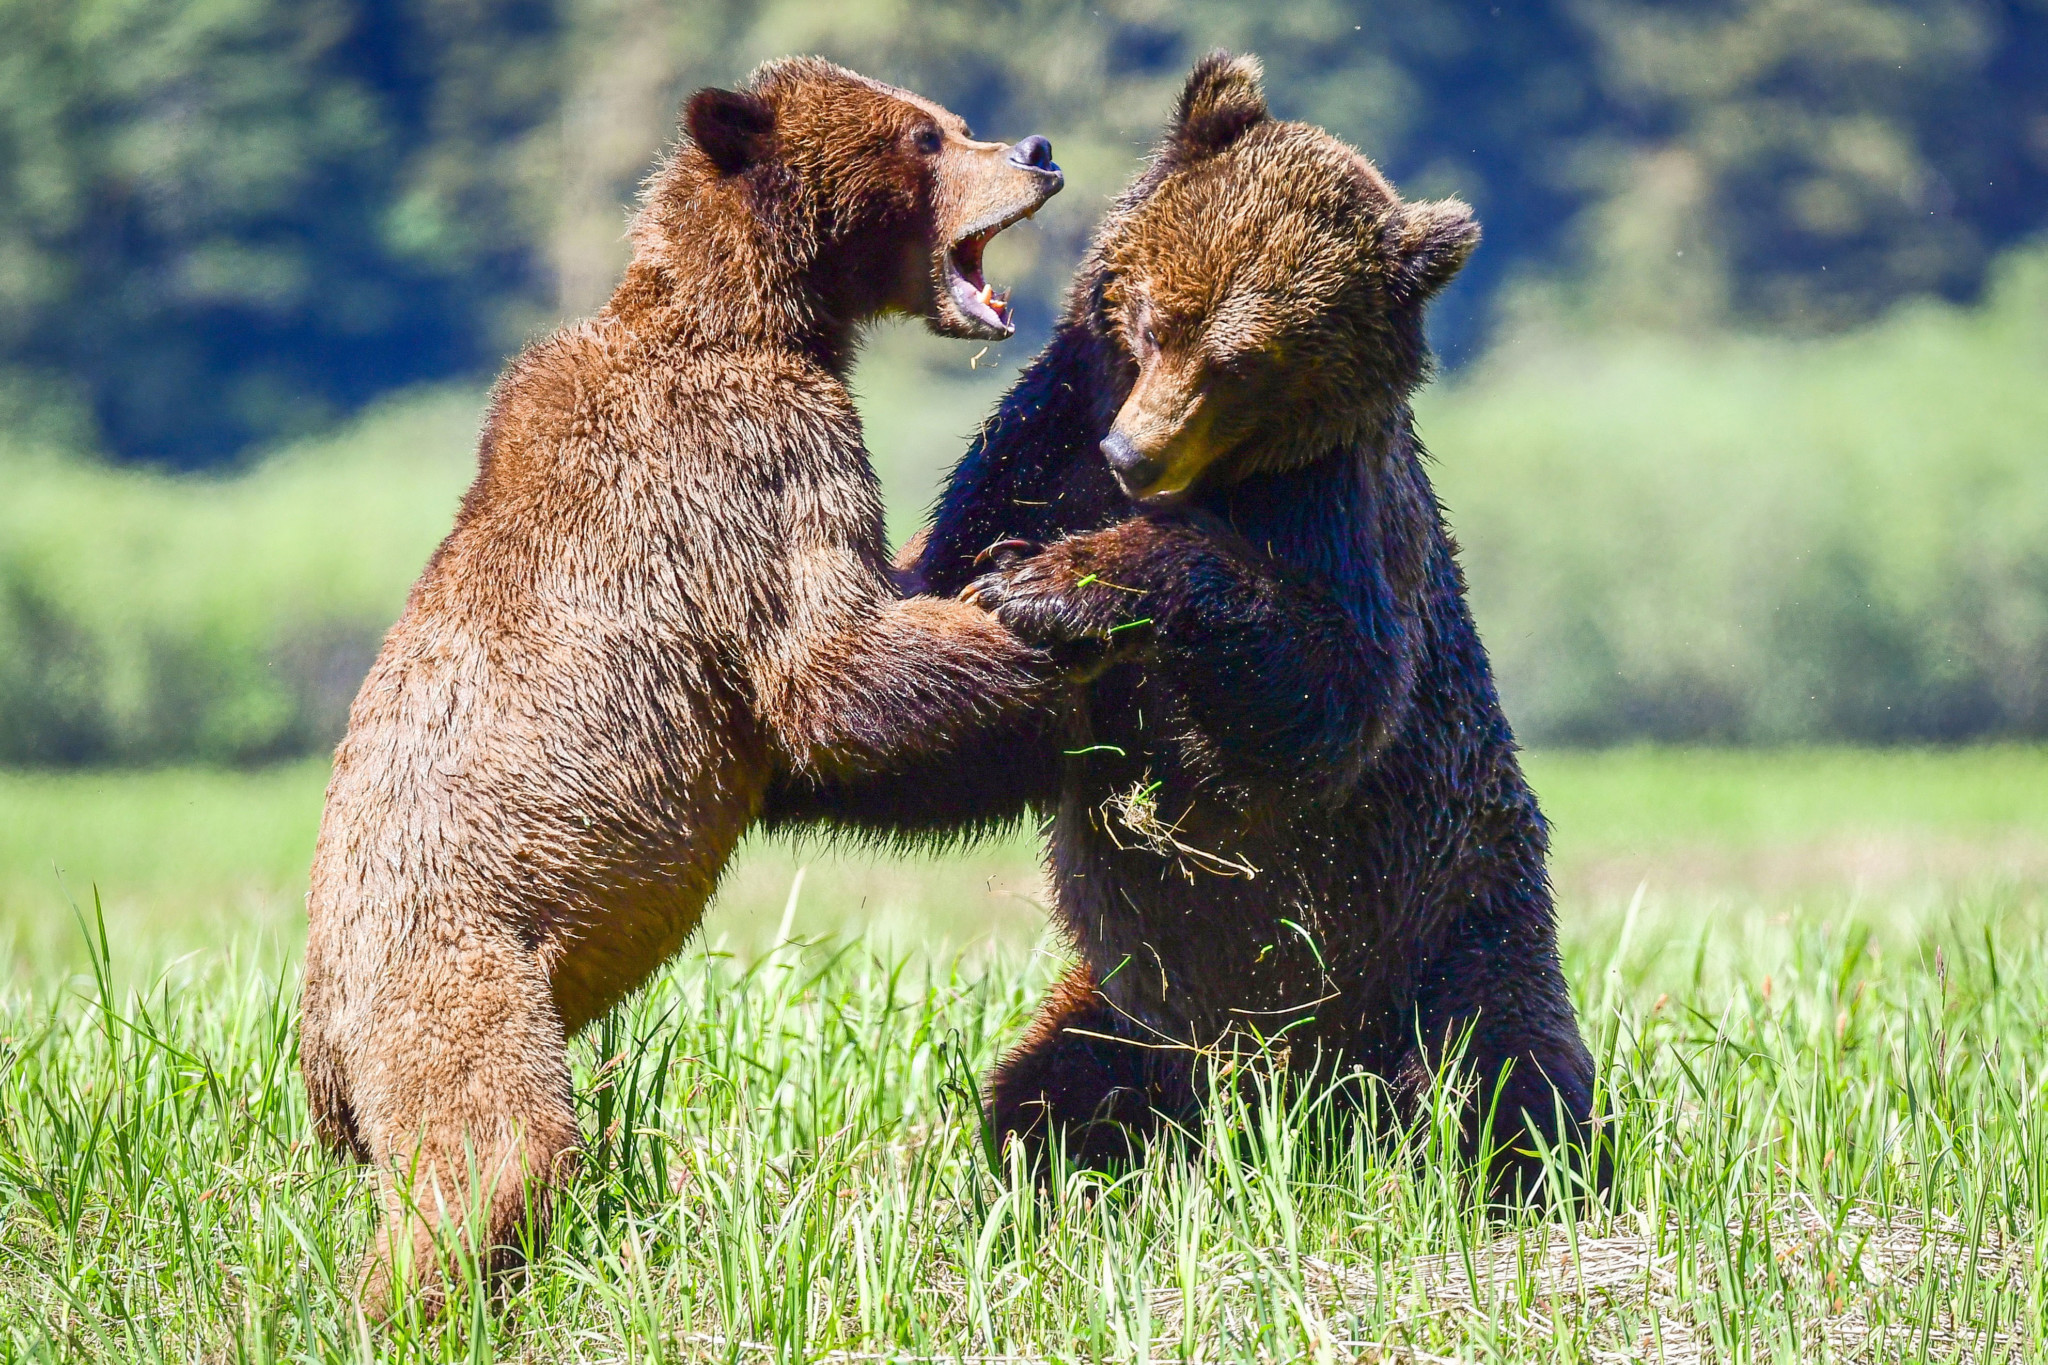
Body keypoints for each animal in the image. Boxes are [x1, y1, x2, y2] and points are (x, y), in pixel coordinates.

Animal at [298, 57, 1063, 1314]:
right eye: (920, 137)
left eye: (951, 119)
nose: (1038, 150)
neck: (755, 313)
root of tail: (317, 1041)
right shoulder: (753, 466)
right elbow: (829, 666)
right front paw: (1039, 627)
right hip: (452, 978)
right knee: (491, 1155)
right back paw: (406, 1300)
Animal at [893, 53, 1600, 1195]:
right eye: (1159, 318)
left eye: (1247, 361)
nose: (1134, 455)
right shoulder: (1036, 446)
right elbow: (945, 684)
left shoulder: (1334, 514)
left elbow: (1327, 700)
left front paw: (1056, 583)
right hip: (1132, 1013)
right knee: (1054, 1081)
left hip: (1458, 935)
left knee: (1499, 1078)